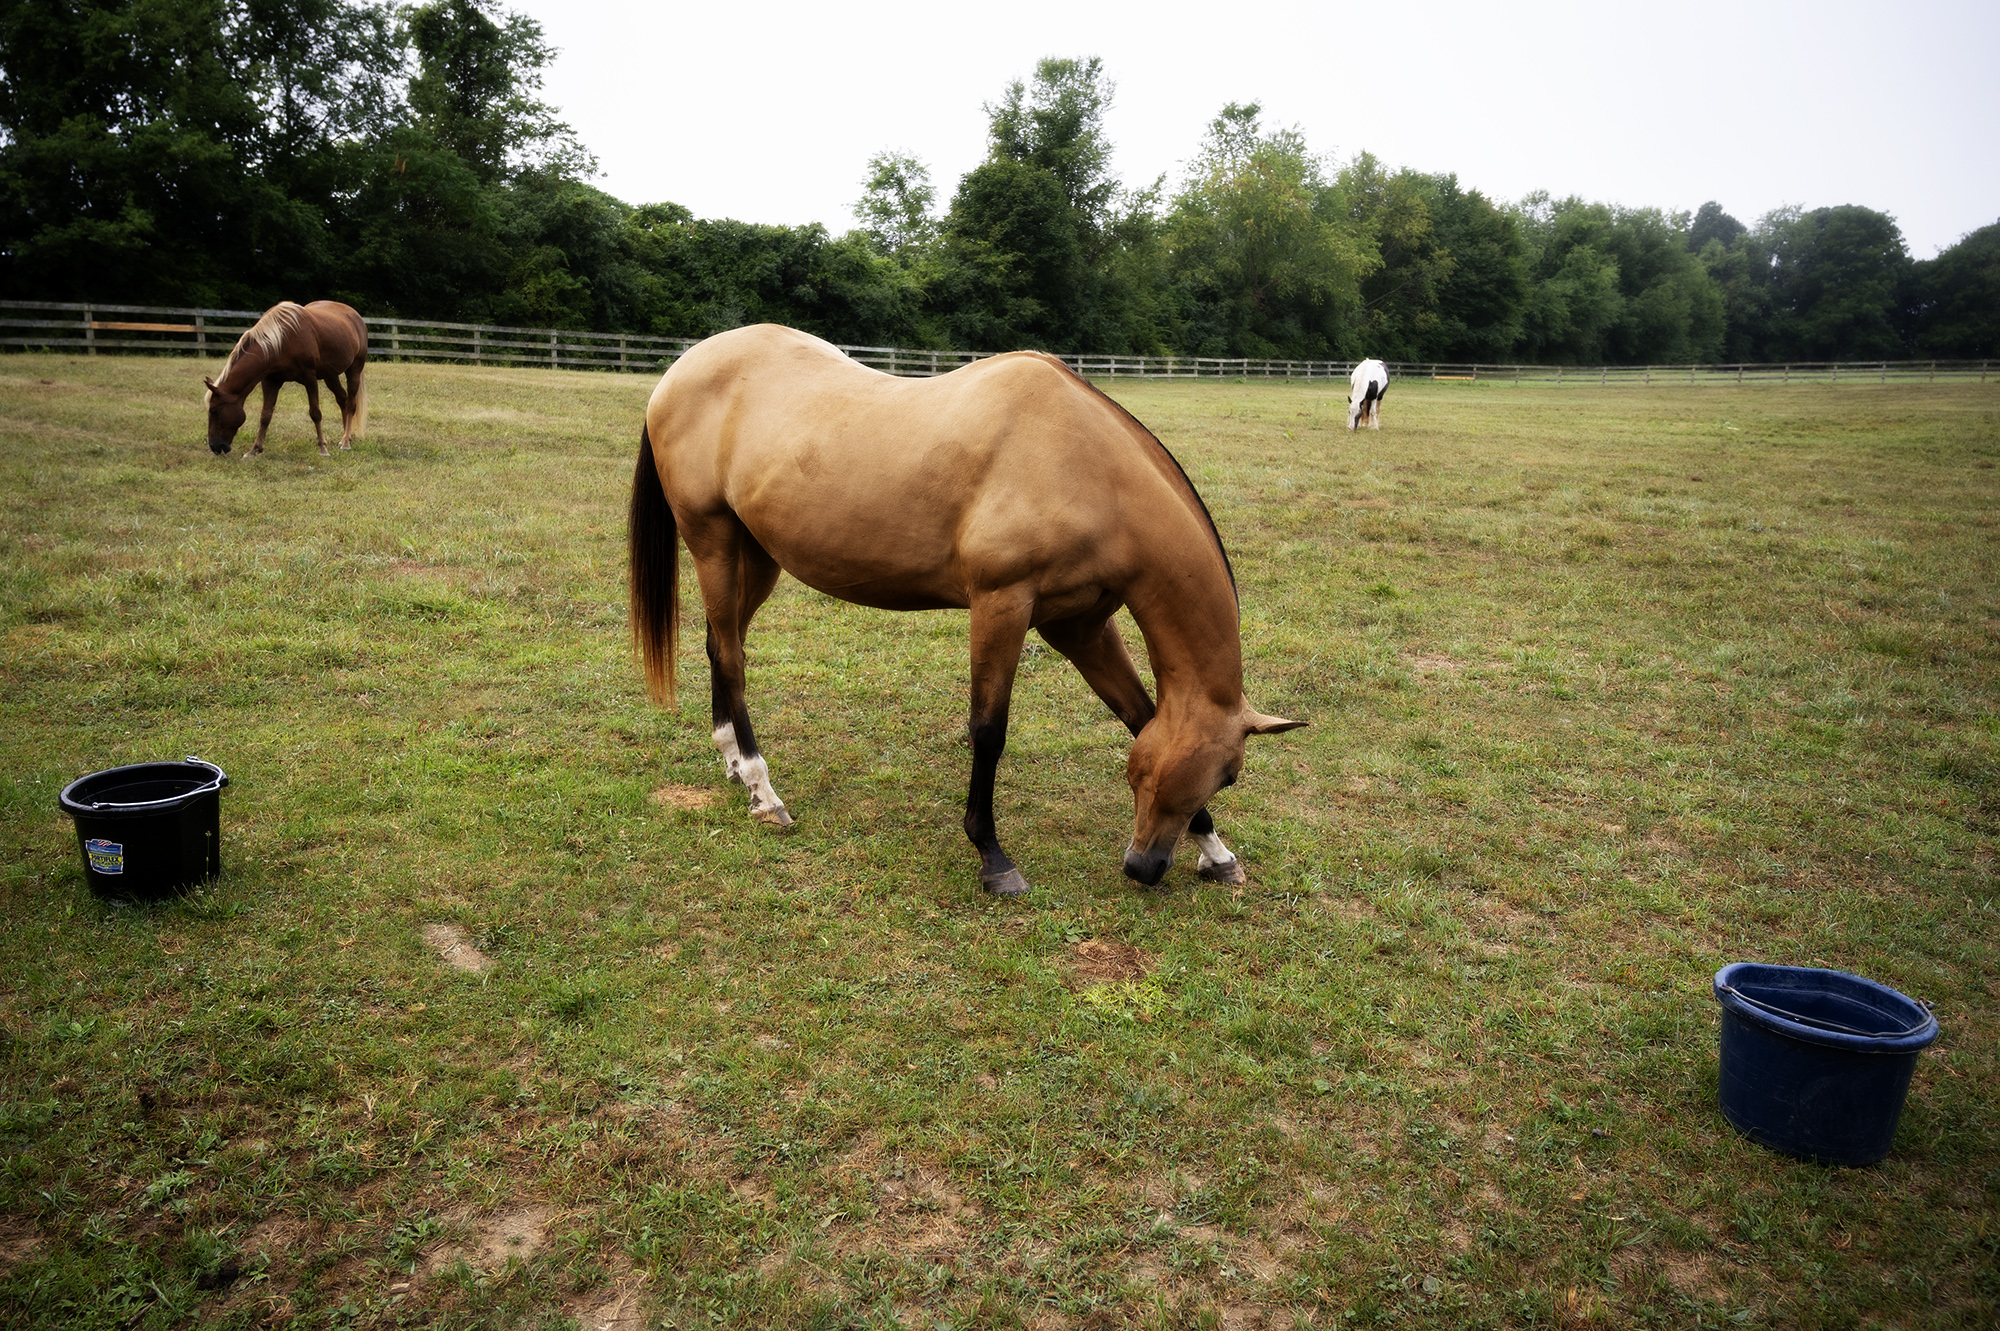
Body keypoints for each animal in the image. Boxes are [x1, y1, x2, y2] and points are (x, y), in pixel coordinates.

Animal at [203, 301, 369, 457]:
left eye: (214, 411)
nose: (214, 446)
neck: (282, 340)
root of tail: (355, 316)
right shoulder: (270, 381)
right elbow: (265, 415)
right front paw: (254, 450)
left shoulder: (309, 378)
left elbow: (315, 413)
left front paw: (323, 448)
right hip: (331, 375)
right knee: (342, 399)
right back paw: (346, 436)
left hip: (354, 369)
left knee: (351, 404)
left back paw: (346, 441)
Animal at [628, 324, 1304, 897]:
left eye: (1228, 777)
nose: (1145, 867)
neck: (1086, 468)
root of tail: (683, 367)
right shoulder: (1001, 605)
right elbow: (988, 731)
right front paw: (993, 858)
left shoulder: (1079, 625)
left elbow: (1139, 717)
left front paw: (1217, 852)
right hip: (713, 541)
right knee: (731, 655)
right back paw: (763, 789)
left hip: (757, 556)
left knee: (721, 644)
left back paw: (734, 763)